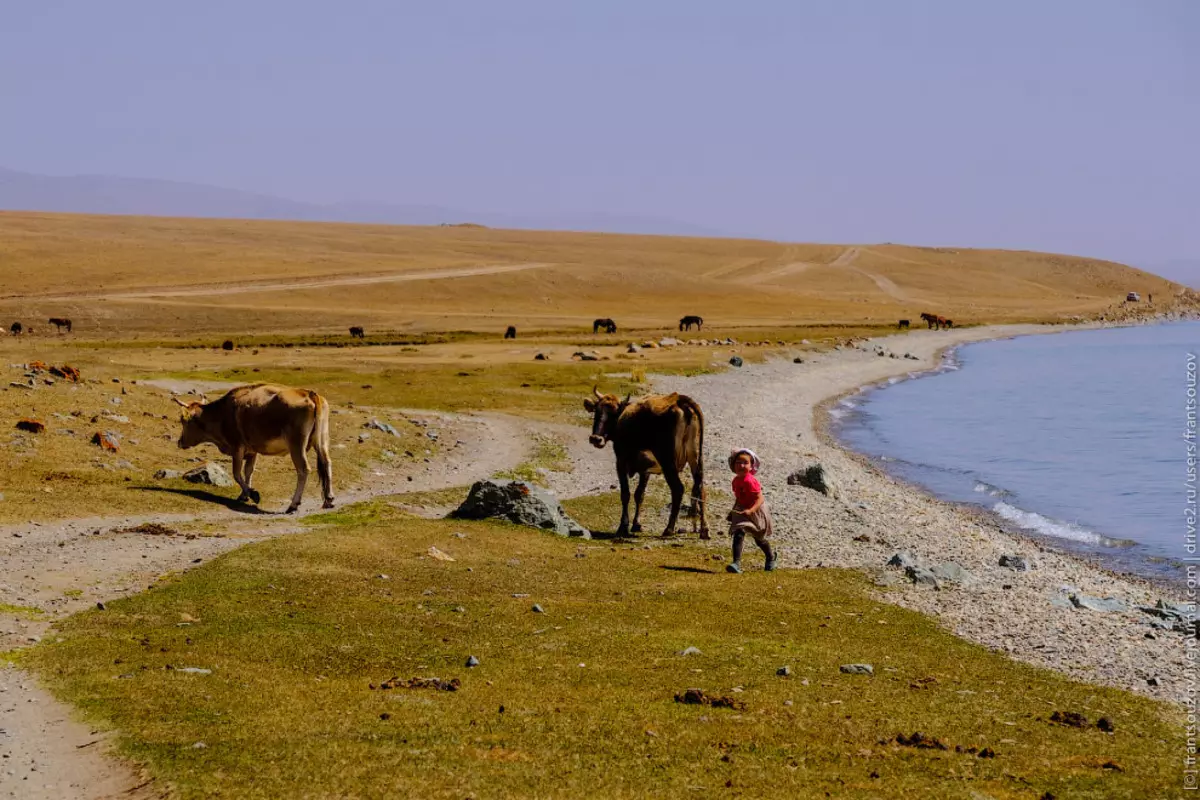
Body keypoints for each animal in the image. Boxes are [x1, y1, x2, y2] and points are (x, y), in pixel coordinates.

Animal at [175, 381, 333, 513]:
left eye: (183, 420)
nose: (180, 442)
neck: (222, 414)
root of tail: (309, 394)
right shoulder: (252, 451)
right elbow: (248, 471)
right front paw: (244, 494)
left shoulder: (237, 447)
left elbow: (237, 473)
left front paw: (253, 494)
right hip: (322, 440)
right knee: (327, 462)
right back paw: (329, 500)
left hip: (297, 445)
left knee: (303, 469)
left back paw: (293, 504)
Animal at [583, 388, 705, 537]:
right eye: (597, 411)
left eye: (614, 413)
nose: (596, 439)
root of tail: (679, 400)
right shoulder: (645, 469)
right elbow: (639, 494)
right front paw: (636, 524)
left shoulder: (621, 462)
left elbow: (626, 494)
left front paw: (623, 527)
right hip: (696, 457)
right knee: (700, 488)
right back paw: (704, 530)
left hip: (668, 462)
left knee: (678, 489)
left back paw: (669, 528)